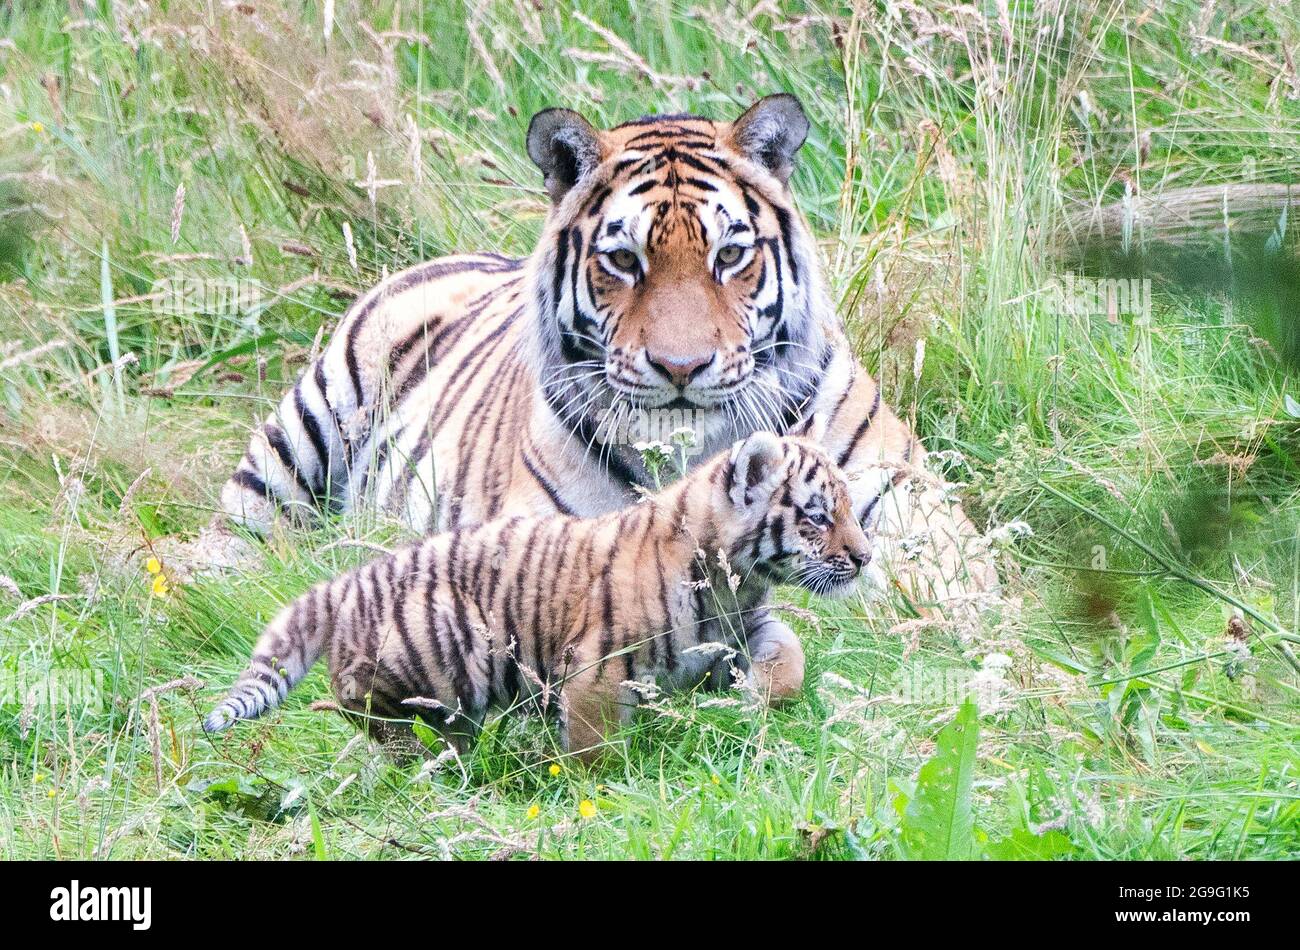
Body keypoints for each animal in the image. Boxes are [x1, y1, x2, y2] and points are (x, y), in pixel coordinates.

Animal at [205, 433, 869, 762]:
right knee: (370, 710)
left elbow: (790, 658)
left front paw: (755, 699)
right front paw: (602, 793)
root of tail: (346, 582)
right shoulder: (598, 666)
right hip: (442, 657)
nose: (865, 558)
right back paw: (423, 762)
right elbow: (594, 745)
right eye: (817, 516)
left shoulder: (740, 630)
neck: (734, 580)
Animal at [217, 94, 996, 704]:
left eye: (729, 255)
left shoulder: (918, 513)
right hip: (299, 433)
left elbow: (958, 591)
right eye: (624, 260)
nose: (681, 367)